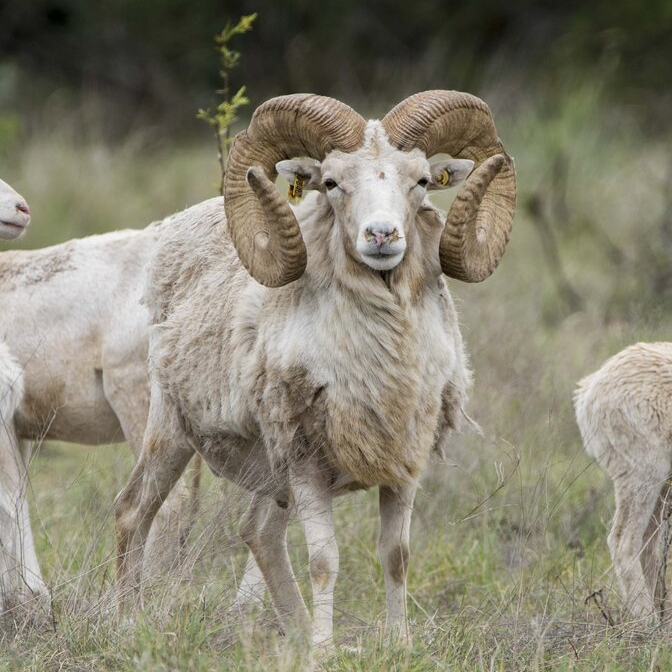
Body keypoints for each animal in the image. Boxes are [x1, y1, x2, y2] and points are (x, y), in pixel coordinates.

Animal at [114, 91, 517, 652]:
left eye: (419, 180)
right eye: (331, 183)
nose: (382, 234)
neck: (378, 363)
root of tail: (172, 235)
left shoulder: (404, 463)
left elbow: (396, 556)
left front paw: (397, 643)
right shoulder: (307, 461)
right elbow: (325, 560)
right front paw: (325, 652)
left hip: (268, 472)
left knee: (258, 533)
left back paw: (298, 631)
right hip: (172, 430)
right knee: (134, 512)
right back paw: (127, 623)